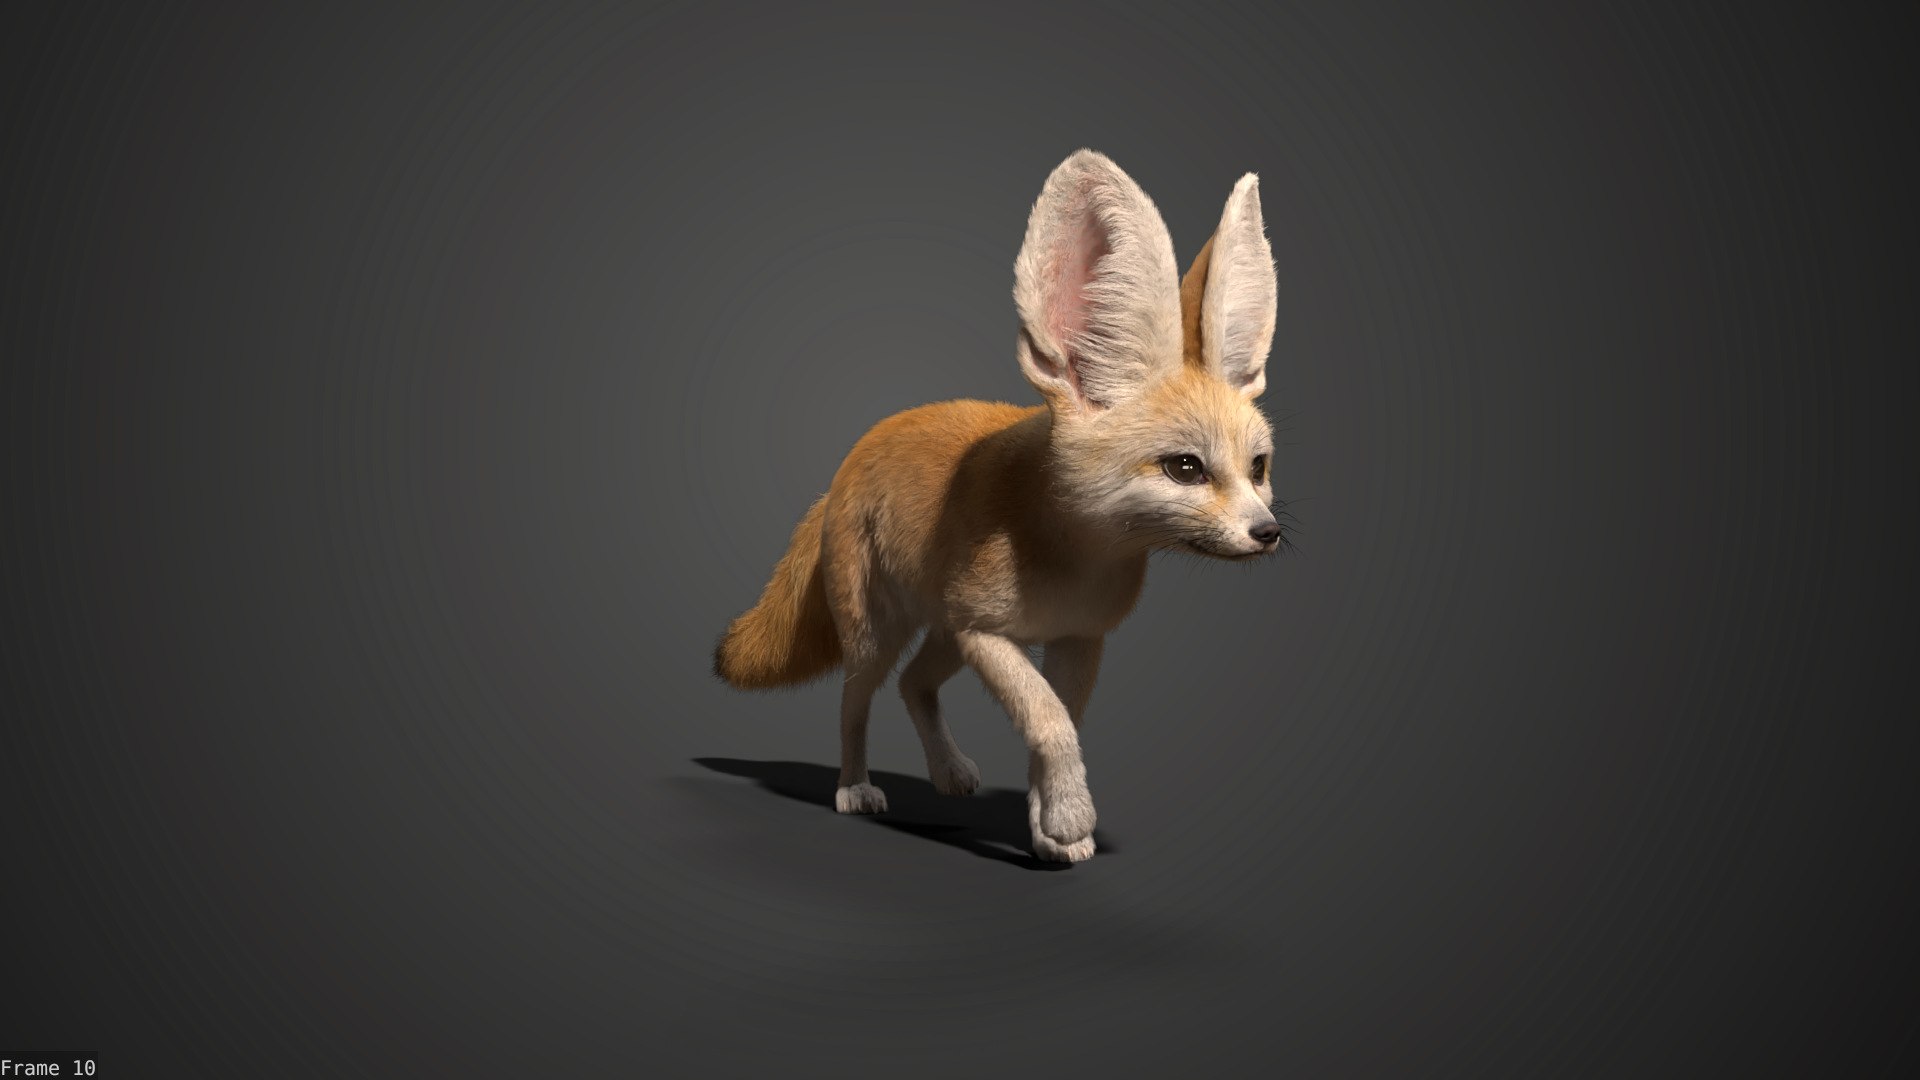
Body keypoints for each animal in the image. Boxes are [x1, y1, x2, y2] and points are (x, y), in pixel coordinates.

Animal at [712, 149, 1284, 863]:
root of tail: (851, 458)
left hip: (943, 633)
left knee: (913, 684)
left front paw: (1047, 826)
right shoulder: (987, 632)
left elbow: (1057, 722)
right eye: (1186, 468)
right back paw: (854, 788)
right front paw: (1069, 815)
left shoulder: (1076, 637)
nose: (1269, 532)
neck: (1070, 559)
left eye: (1258, 468)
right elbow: (1048, 720)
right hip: (881, 636)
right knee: (854, 702)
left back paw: (949, 772)